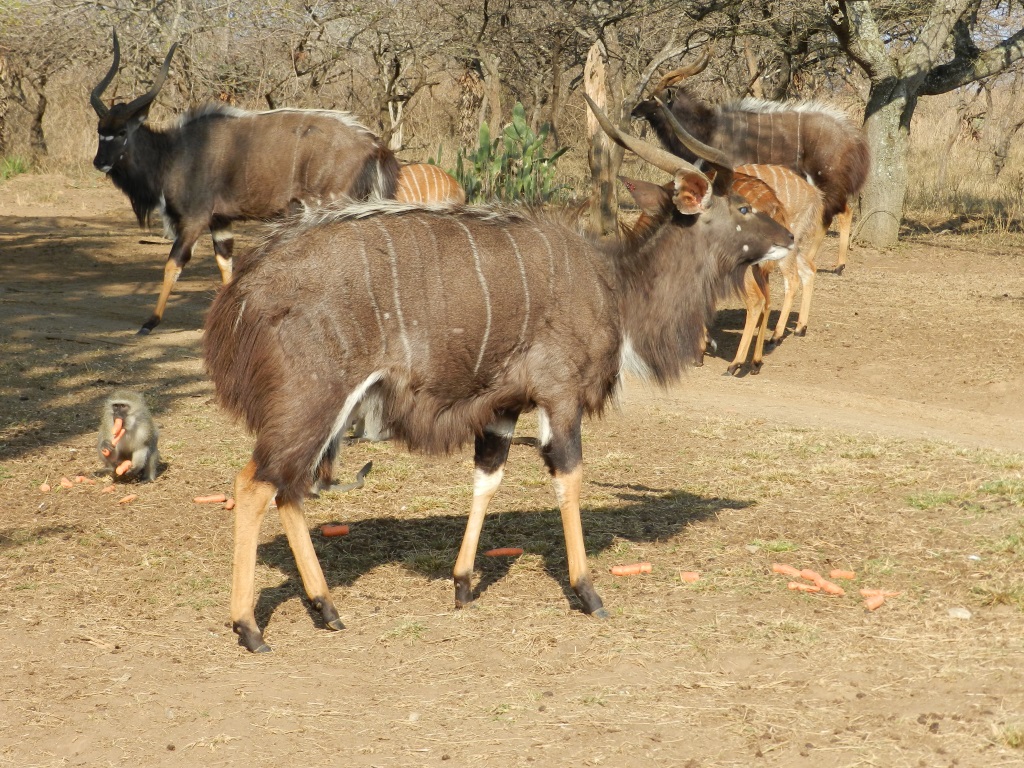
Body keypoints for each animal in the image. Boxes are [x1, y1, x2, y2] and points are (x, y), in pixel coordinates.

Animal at [91, 30, 399, 334]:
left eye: (122, 132)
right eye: (99, 131)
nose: (99, 162)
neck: (173, 153)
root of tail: (375, 145)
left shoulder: (194, 219)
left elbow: (173, 264)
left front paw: (150, 322)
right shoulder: (220, 222)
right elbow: (226, 264)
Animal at [202, 94, 794, 653]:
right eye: (743, 205)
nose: (788, 237)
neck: (615, 285)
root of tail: (245, 294)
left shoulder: (503, 406)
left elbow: (488, 477)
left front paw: (463, 585)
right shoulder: (560, 396)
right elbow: (568, 478)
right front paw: (588, 592)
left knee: (288, 488)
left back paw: (326, 608)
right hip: (313, 400)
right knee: (255, 484)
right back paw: (249, 627)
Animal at [633, 50, 869, 275]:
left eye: (652, 97)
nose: (634, 111)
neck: (709, 128)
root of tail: (853, 139)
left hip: (825, 180)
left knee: (829, 215)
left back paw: (826, 262)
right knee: (845, 210)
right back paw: (838, 265)